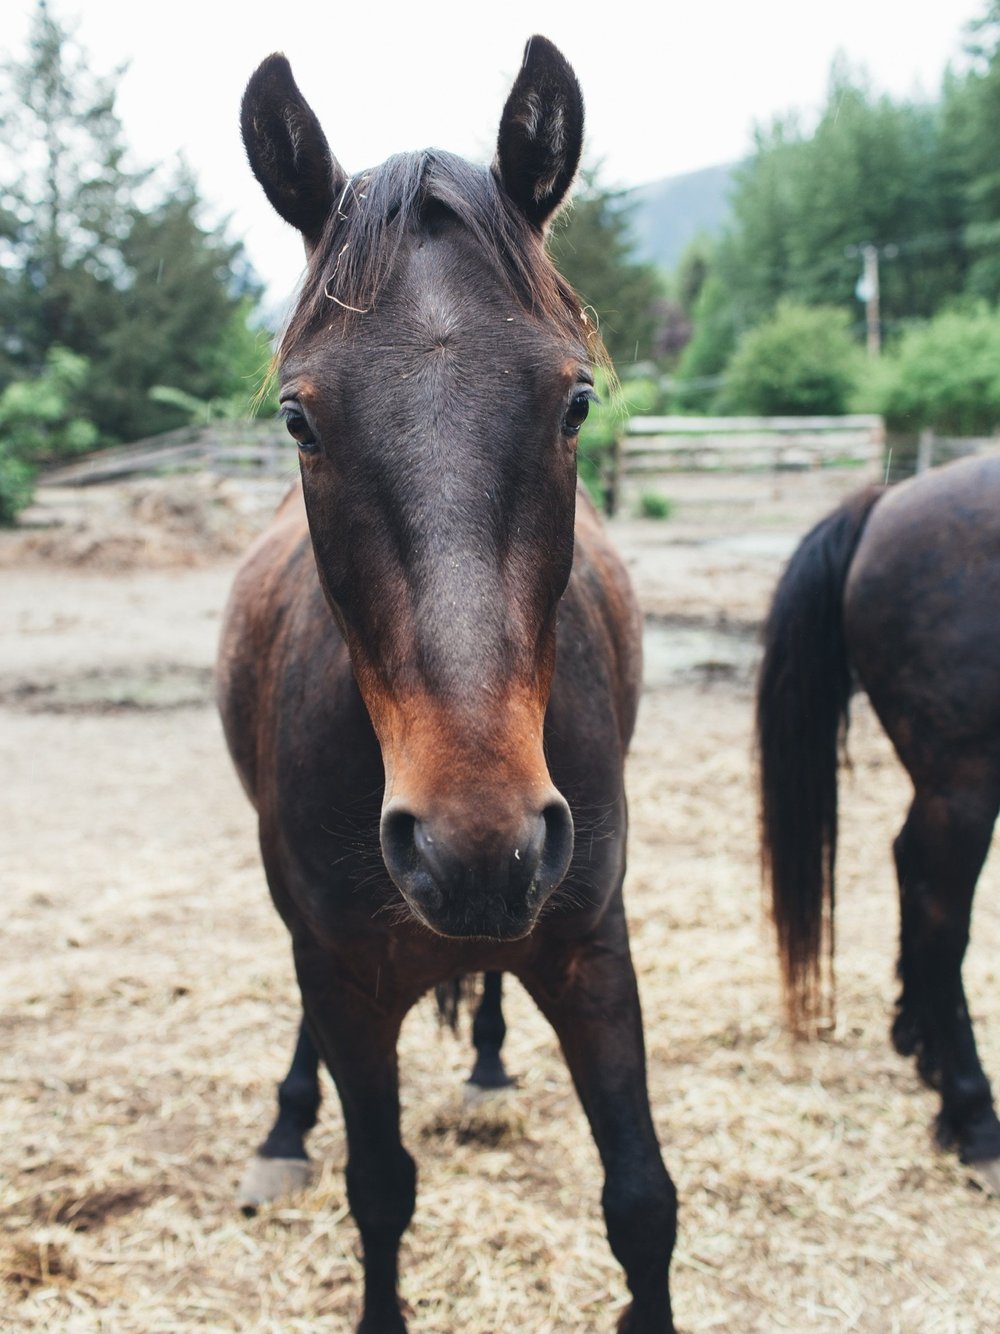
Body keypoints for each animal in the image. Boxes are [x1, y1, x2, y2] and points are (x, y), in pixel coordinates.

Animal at [218, 37, 677, 1332]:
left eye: (575, 400)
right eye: (298, 417)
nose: (477, 843)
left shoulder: (590, 947)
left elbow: (641, 1200)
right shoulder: (344, 972)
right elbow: (379, 1185)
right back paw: (286, 1125)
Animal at [756, 452, 1000, 1194]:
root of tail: (885, 503)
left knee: (909, 865)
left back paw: (920, 1041)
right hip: (965, 776)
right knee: (939, 910)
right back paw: (972, 1113)